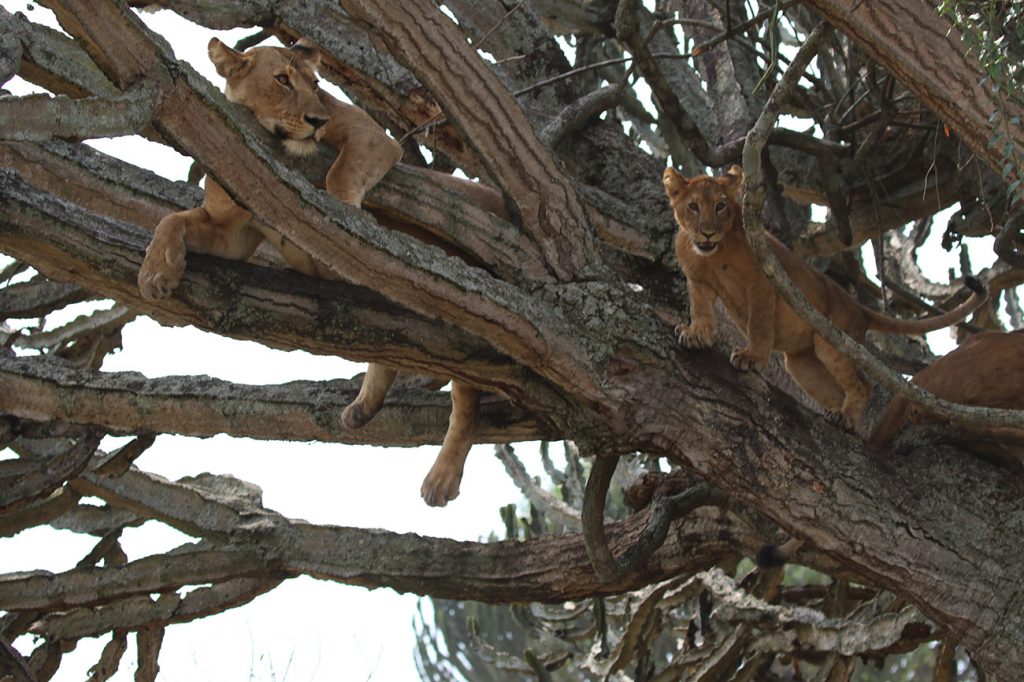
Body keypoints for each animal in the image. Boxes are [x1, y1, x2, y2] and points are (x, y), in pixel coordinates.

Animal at [138, 37, 502, 506]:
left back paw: (441, 479)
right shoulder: (229, 232)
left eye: (316, 85)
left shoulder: (371, 136)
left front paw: (347, 219)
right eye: (281, 80)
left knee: (466, 397)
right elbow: (171, 219)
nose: (317, 120)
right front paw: (155, 273)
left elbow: (338, 174)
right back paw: (362, 408)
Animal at [662, 165, 987, 429]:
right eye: (693, 206)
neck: (712, 255)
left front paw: (751, 357)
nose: (707, 233)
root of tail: (857, 306)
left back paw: (846, 418)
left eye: (720, 206)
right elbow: (702, 310)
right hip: (803, 364)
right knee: (834, 389)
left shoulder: (762, 284)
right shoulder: (699, 281)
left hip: (832, 341)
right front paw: (696, 335)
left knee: (862, 383)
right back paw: (843, 420)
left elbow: (759, 325)